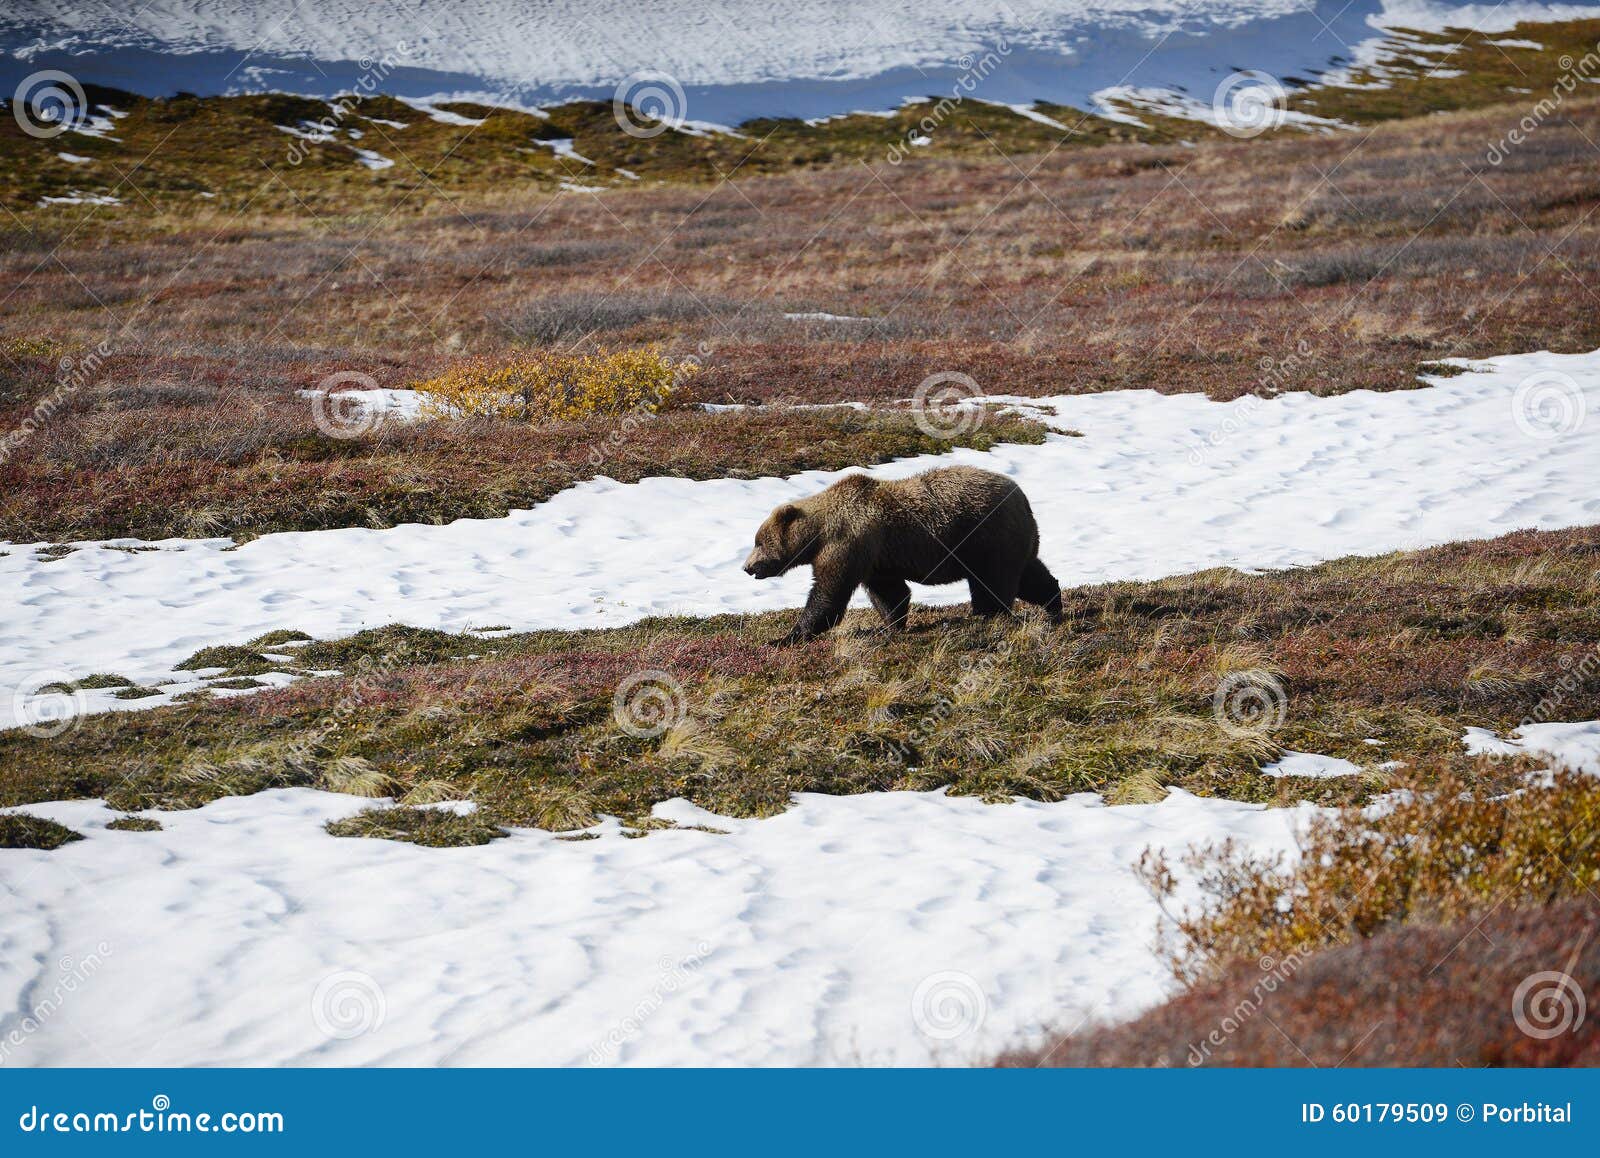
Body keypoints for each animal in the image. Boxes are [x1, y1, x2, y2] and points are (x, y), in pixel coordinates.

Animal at [742, 465, 1064, 644]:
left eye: (758, 541)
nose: (747, 567)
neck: (819, 533)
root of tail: (1021, 496)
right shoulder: (876, 559)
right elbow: (890, 593)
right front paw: (890, 625)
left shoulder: (847, 544)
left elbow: (828, 594)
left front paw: (787, 636)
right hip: (1013, 540)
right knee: (1030, 574)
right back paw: (1053, 606)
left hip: (986, 536)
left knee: (994, 581)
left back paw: (986, 615)